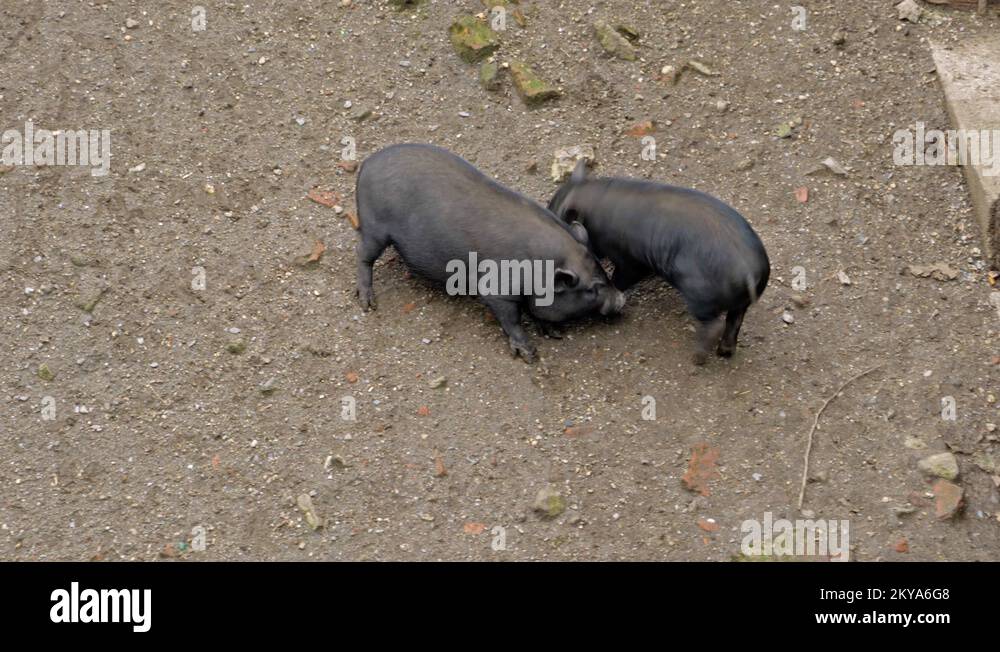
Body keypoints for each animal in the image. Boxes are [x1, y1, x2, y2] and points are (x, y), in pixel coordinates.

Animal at [354, 144, 625, 362]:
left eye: (603, 271)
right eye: (591, 289)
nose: (621, 299)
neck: (539, 267)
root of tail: (367, 164)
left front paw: (555, 333)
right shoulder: (496, 289)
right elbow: (511, 318)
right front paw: (530, 355)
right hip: (374, 227)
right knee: (363, 256)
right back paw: (368, 303)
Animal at [548, 162, 770, 364]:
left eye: (558, 217)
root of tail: (748, 271)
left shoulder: (631, 261)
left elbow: (621, 278)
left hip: (700, 294)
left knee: (714, 325)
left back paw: (696, 359)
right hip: (741, 303)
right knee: (734, 321)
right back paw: (724, 353)